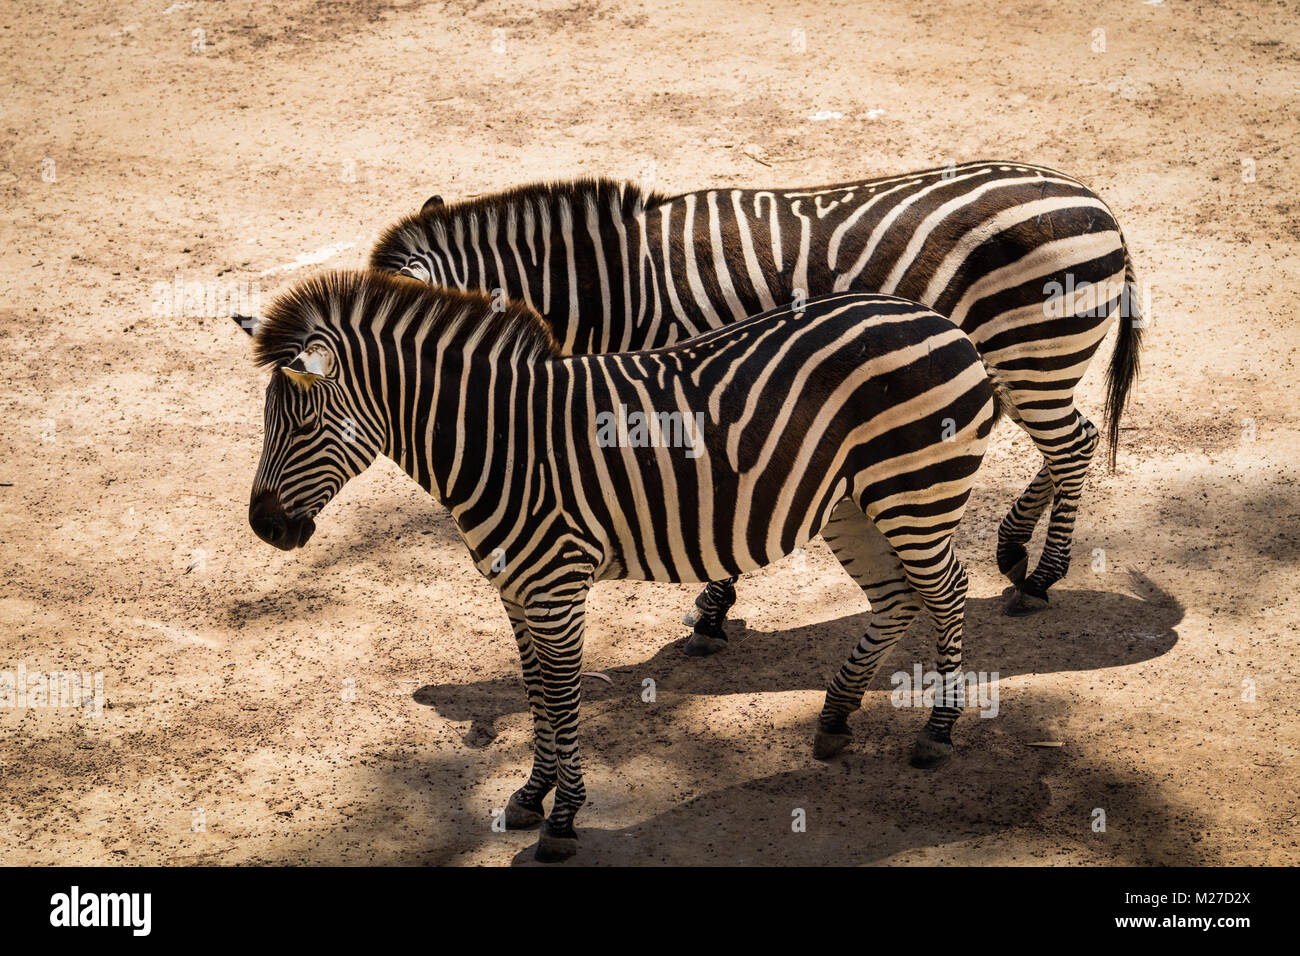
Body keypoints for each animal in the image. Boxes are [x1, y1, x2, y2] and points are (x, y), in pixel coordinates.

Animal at [232, 271, 998, 860]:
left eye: (302, 424)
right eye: (269, 423)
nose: (264, 528)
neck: (498, 442)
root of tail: (936, 318)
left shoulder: (556, 586)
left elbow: (564, 698)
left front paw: (564, 821)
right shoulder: (517, 592)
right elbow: (536, 695)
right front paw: (530, 796)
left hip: (915, 489)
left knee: (948, 590)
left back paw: (938, 731)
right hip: (850, 502)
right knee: (897, 596)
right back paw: (836, 718)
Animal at [368, 161, 1144, 649]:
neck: (625, 284)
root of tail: (1097, 203)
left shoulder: (700, 390)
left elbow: (713, 499)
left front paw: (713, 610)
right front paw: (717, 606)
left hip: (1033, 352)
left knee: (1072, 444)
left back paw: (1041, 577)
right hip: (1014, 362)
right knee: (1069, 438)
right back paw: (1014, 548)